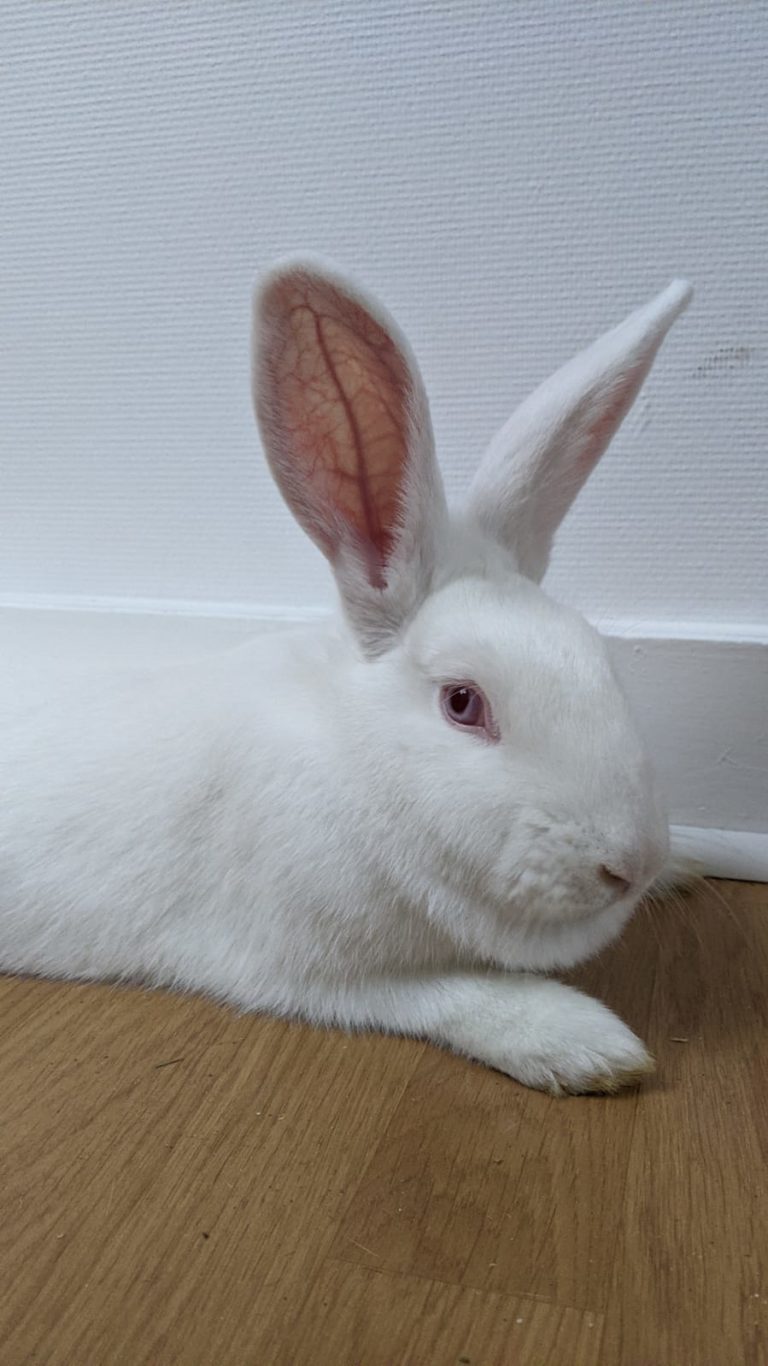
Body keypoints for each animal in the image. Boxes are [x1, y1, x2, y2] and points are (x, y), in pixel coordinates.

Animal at [0, 258, 692, 1095]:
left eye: (601, 660)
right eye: (463, 703)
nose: (632, 864)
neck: (357, 759)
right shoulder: (311, 969)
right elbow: (454, 994)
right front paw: (587, 1047)